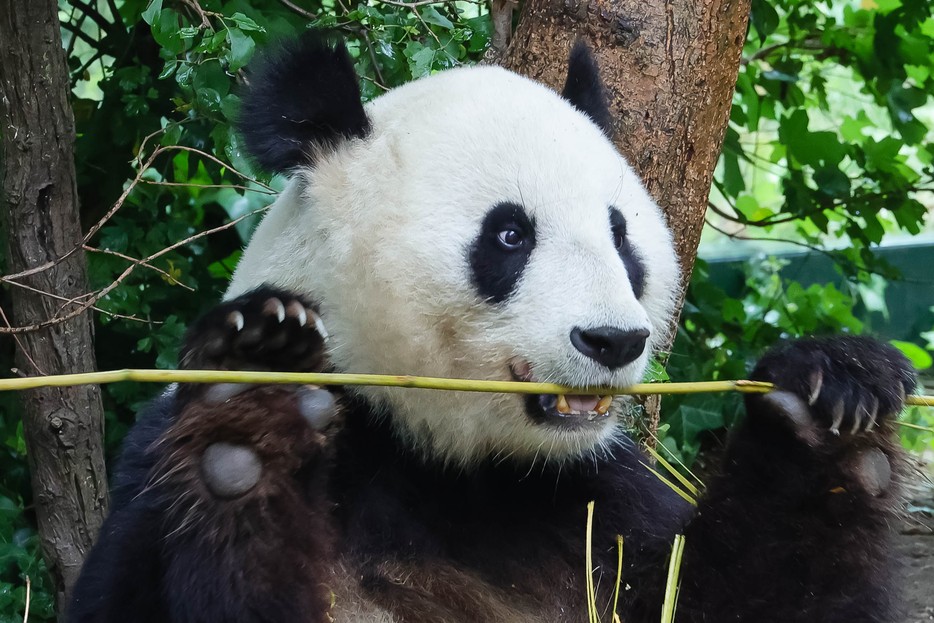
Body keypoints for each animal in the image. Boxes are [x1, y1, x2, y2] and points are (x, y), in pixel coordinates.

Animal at [69, 34, 917, 623]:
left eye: (620, 236)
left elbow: (726, 596)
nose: (612, 341)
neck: (446, 460)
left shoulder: (592, 502)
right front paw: (256, 396)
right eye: (510, 235)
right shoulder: (158, 470)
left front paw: (828, 401)